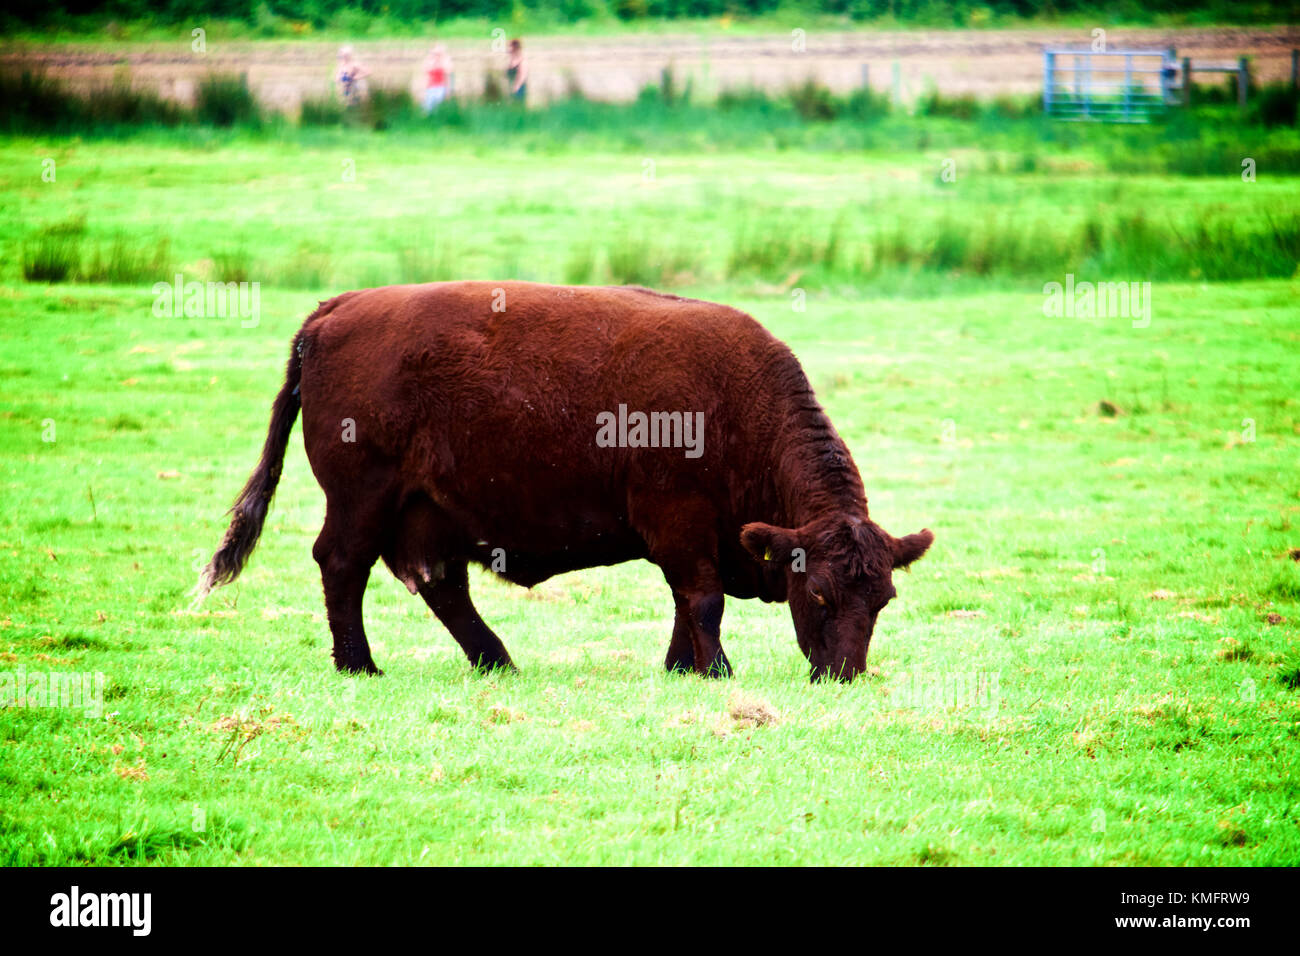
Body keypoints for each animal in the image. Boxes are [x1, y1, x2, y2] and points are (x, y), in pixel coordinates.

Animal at [197, 282, 932, 682]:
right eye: (821, 593)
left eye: (882, 601)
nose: (844, 677)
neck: (736, 402)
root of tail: (334, 309)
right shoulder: (681, 522)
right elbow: (703, 599)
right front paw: (717, 670)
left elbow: (687, 603)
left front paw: (681, 667)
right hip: (361, 498)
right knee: (342, 565)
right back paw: (360, 664)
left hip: (427, 508)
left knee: (440, 583)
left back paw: (496, 660)